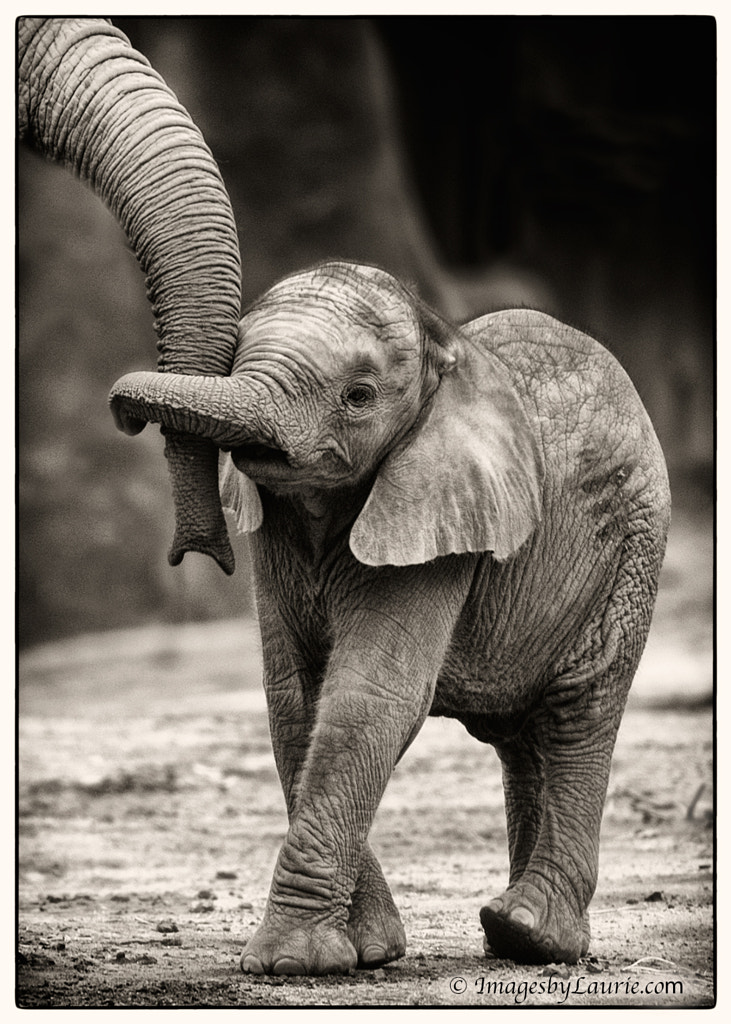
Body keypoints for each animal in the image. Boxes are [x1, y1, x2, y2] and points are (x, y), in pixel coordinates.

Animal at [109, 259, 671, 974]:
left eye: (359, 396)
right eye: (234, 357)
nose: (126, 418)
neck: (441, 350)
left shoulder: (439, 511)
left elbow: (368, 697)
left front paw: (290, 964)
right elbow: (295, 701)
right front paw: (369, 951)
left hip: (631, 549)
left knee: (579, 711)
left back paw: (533, 934)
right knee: (525, 741)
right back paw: (512, 937)